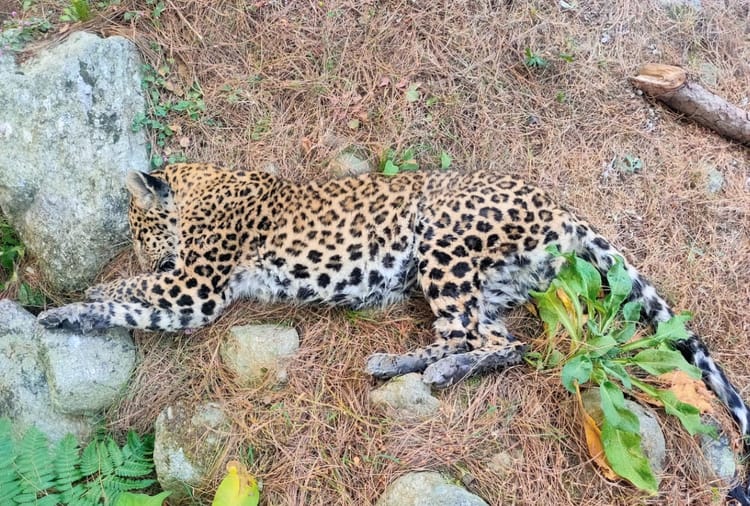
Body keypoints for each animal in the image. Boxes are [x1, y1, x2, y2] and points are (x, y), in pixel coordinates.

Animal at [38, 163, 750, 502]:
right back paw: (403, 366)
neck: (202, 186)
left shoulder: (195, 290)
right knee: (503, 342)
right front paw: (85, 300)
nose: (141, 251)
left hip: (443, 242)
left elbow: (133, 299)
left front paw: (69, 308)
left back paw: (420, 368)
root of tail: (558, 205)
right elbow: (135, 298)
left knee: (474, 338)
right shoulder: (188, 286)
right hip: (489, 285)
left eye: (139, 229)